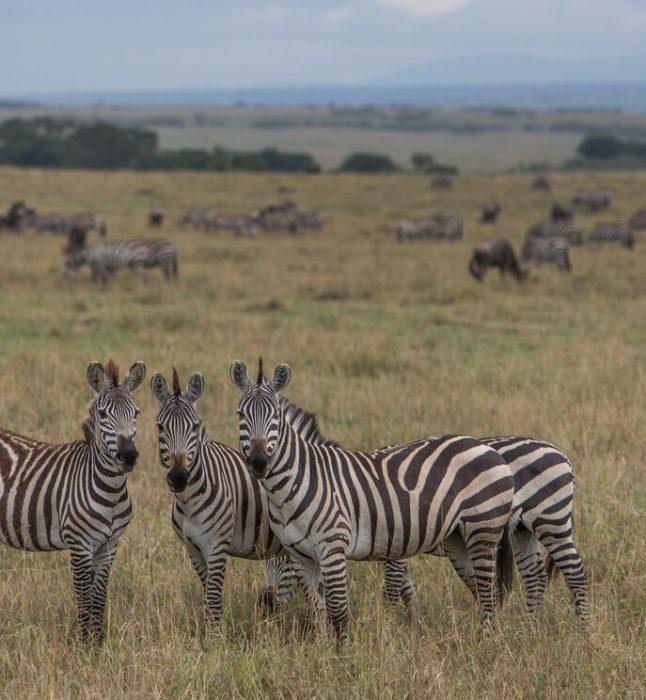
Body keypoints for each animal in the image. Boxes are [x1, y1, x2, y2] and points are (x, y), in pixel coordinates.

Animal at [0, 359, 146, 641]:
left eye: (136, 414)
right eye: (103, 415)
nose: (128, 456)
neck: (110, 491)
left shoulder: (109, 546)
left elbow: (99, 598)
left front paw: (98, 643)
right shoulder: (80, 545)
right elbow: (84, 600)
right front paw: (84, 645)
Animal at [230, 359, 515, 641]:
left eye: (275, 417)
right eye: (240, 415)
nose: (258, 462)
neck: (301, 480)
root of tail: (483, 446)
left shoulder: (335, 547)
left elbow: (340, 609)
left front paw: (348, 650)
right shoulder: (302, 554)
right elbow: (317, 609)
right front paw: (320, 648)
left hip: (483, 530)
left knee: (488, 592)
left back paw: (489, 644)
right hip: (458, 540)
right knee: (483, 591)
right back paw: (487, 639)